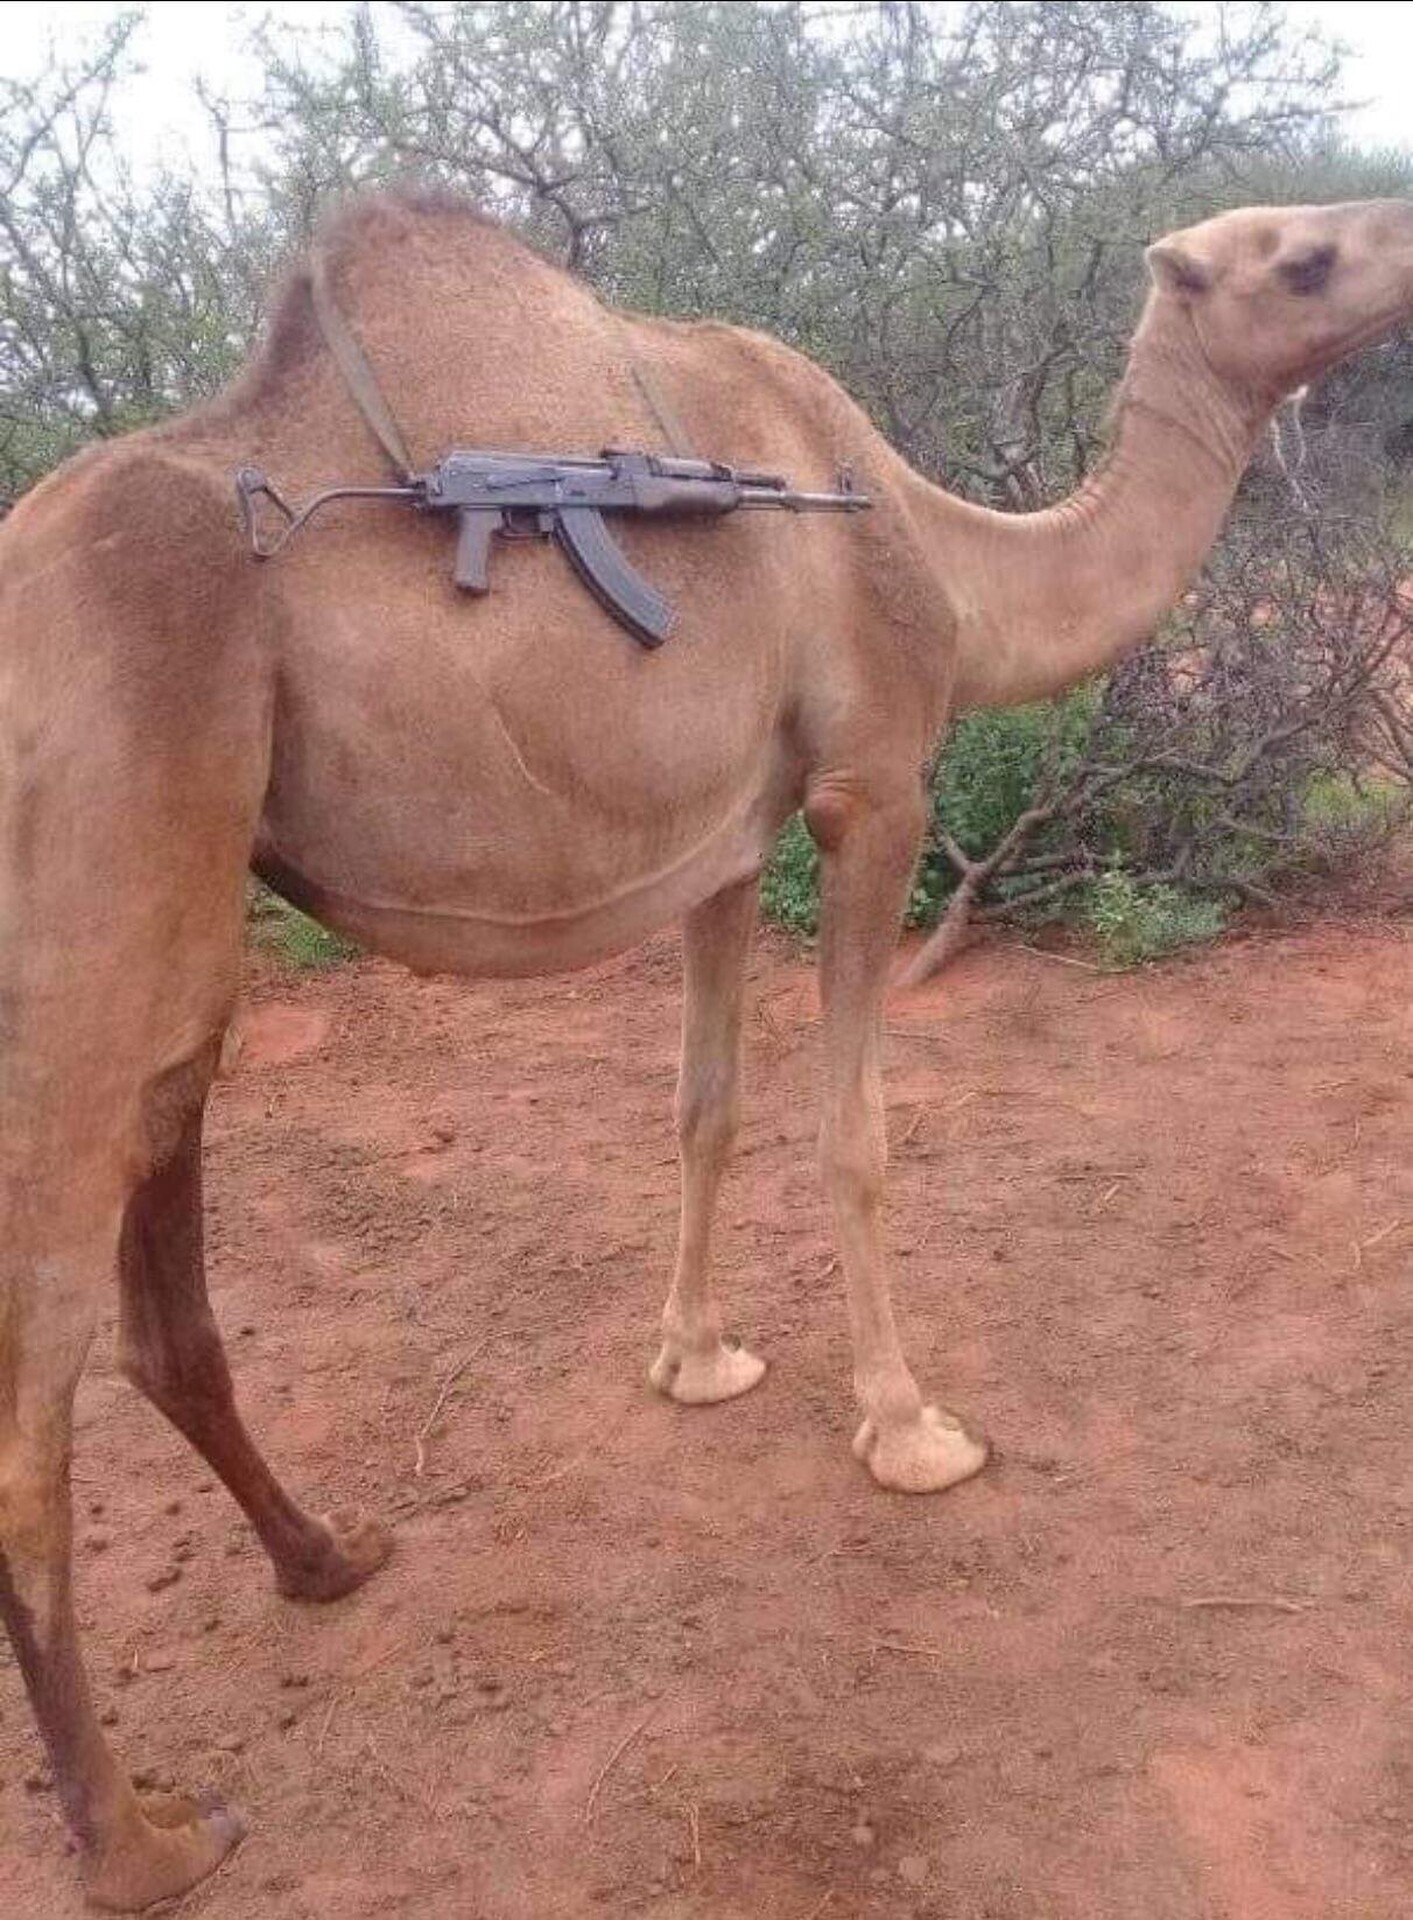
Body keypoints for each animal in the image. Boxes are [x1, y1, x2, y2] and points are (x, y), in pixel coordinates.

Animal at [2, 189, 1412, 1909]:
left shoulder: (728, 837)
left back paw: (329, 1560)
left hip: (189, 931)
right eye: (1300, 257)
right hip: (93, 912)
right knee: (33, 1405)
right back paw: (141, 1839)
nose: (1399, 238)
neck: (936, 556)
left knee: (162, 1302)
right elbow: (854, 1129)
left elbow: (706, 1103)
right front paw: (911, 1431)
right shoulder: (873, 789)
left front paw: (695, 1361)